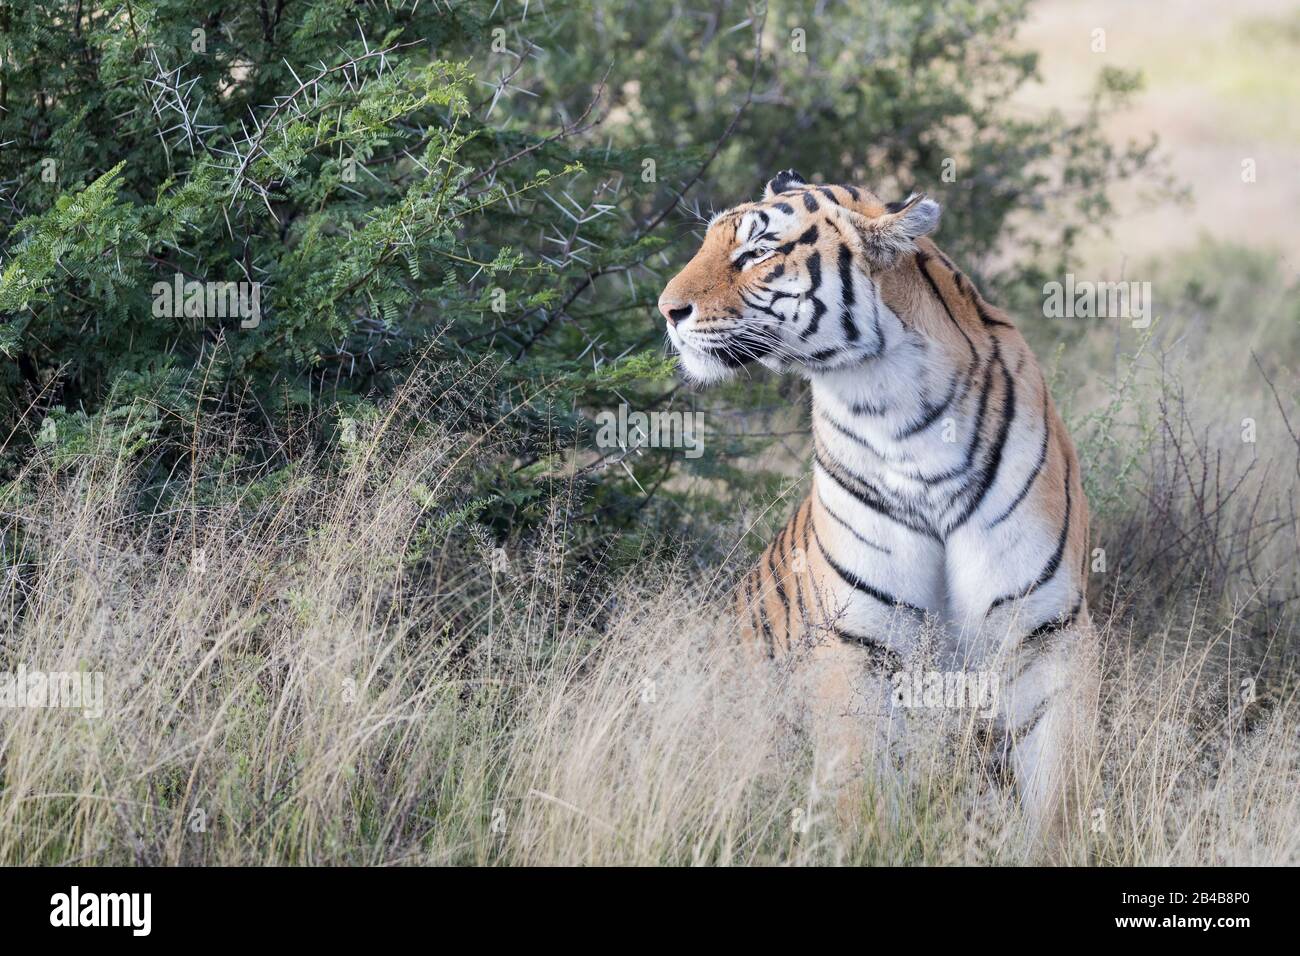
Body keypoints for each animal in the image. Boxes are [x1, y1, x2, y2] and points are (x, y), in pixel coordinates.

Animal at [657, 169, 1097, 843]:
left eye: (756, 252)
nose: (667, 309)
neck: (898, 416)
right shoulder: (857, 642)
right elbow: (855, 794)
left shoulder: (1048, 632)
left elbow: (1059, 800)